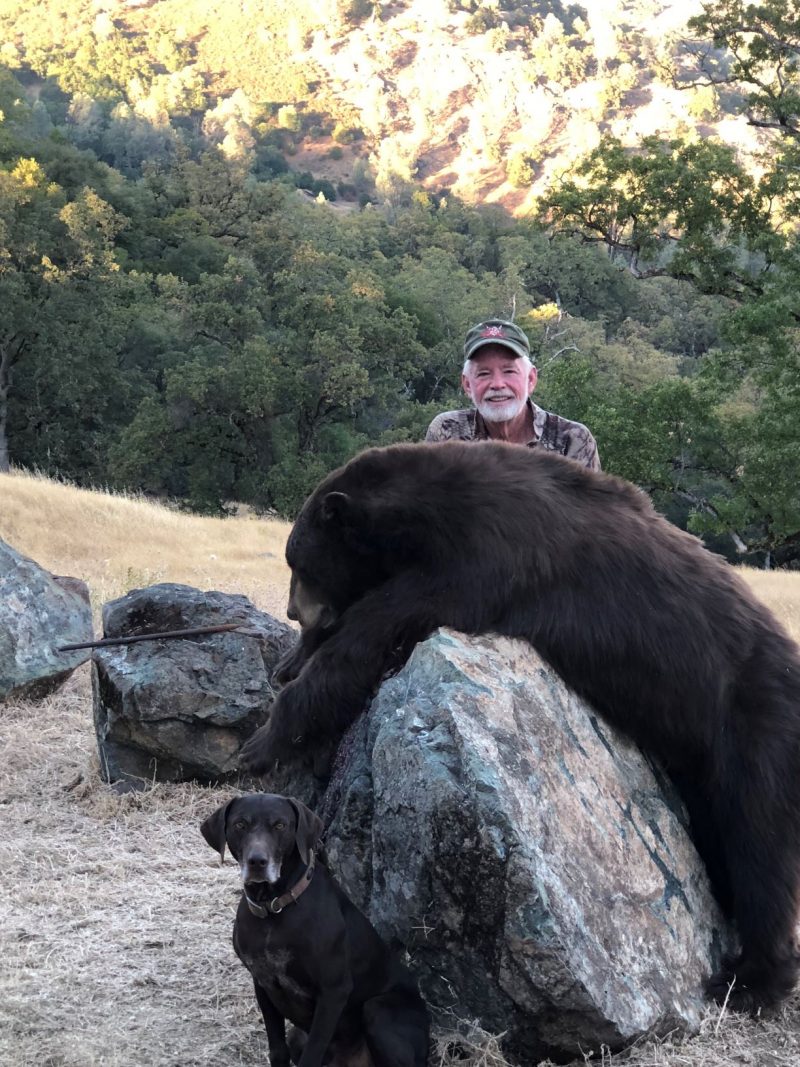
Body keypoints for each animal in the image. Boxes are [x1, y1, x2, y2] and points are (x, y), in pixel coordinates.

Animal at [240, 439, 800, 1013]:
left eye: (298, 561)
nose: (293, 610)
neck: (429, 512)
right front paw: (291, 661)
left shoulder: (484, 561)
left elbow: (370, 636)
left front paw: (263, 741)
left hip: (755, 723)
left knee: (760, 846)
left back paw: (752, 980)